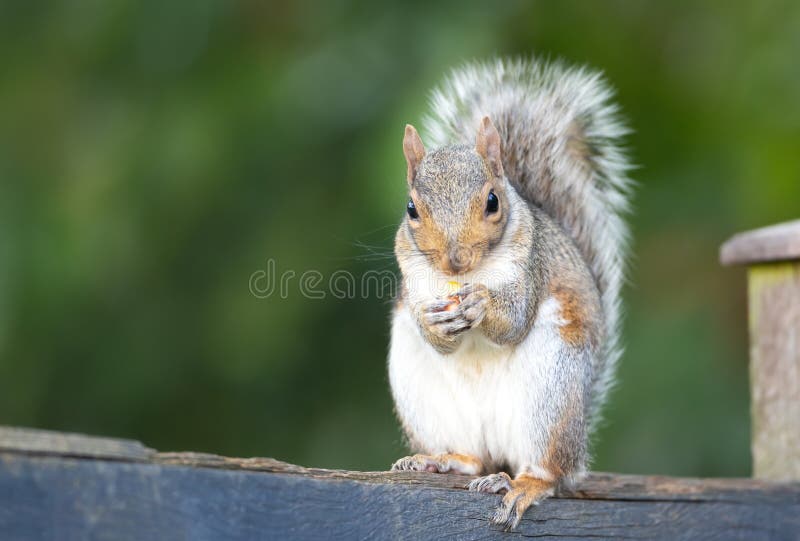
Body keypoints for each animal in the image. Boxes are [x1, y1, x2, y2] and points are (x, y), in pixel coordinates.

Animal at [388, 57, 632, 530]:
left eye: (492, 202)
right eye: (411, 209)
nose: (455, 261)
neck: (473, 274)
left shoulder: (530, 268)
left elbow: (514, 323)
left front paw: (482, 305)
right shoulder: (415, 278)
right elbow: (435, 335)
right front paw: (435, 322)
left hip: (551, 390)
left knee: (550, 473)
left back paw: (522, 485)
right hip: (423, 393)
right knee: (472, 458)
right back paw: (439, 459)